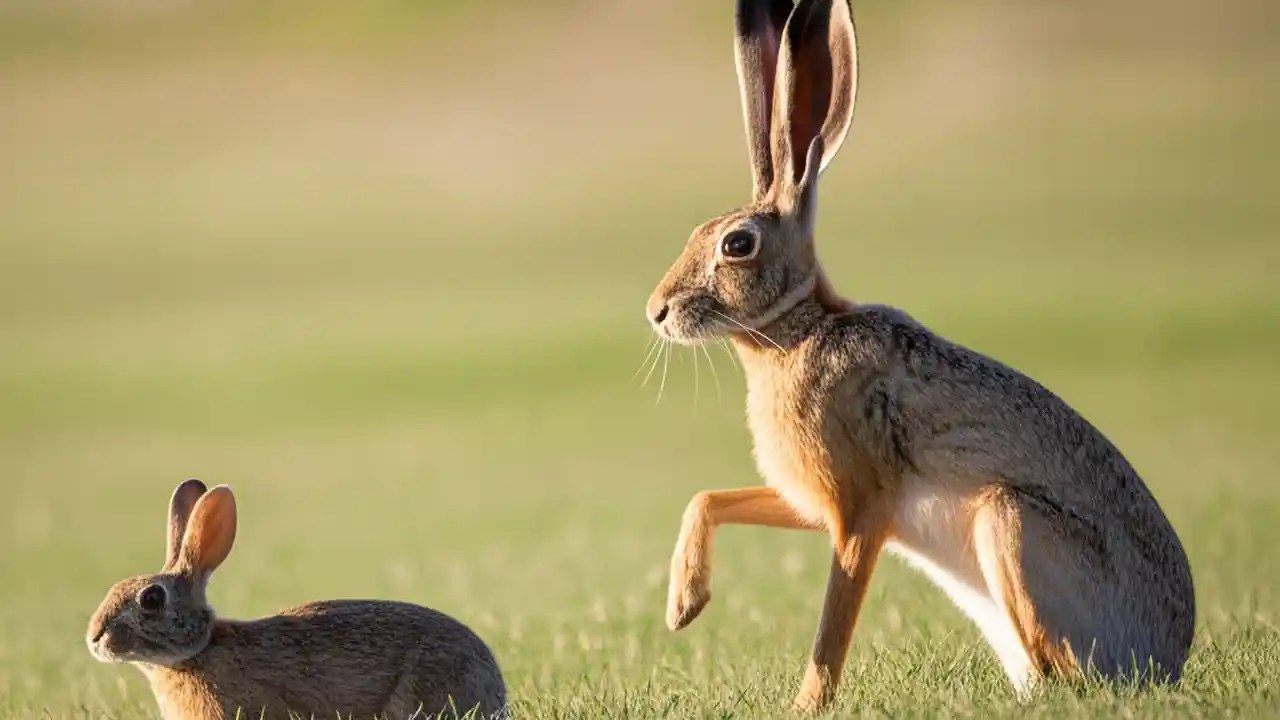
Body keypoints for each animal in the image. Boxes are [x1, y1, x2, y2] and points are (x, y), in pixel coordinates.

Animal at [645, 0, 1195, 711]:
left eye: (737, 245)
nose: (656, 311)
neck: (797, 329)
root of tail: (1167, 657)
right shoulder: (815, 501)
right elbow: (707, 498)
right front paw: (683, 607)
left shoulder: (862, 508)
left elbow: (833, 625)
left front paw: (804, 706)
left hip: (1010, 523)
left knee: (1064, 671)